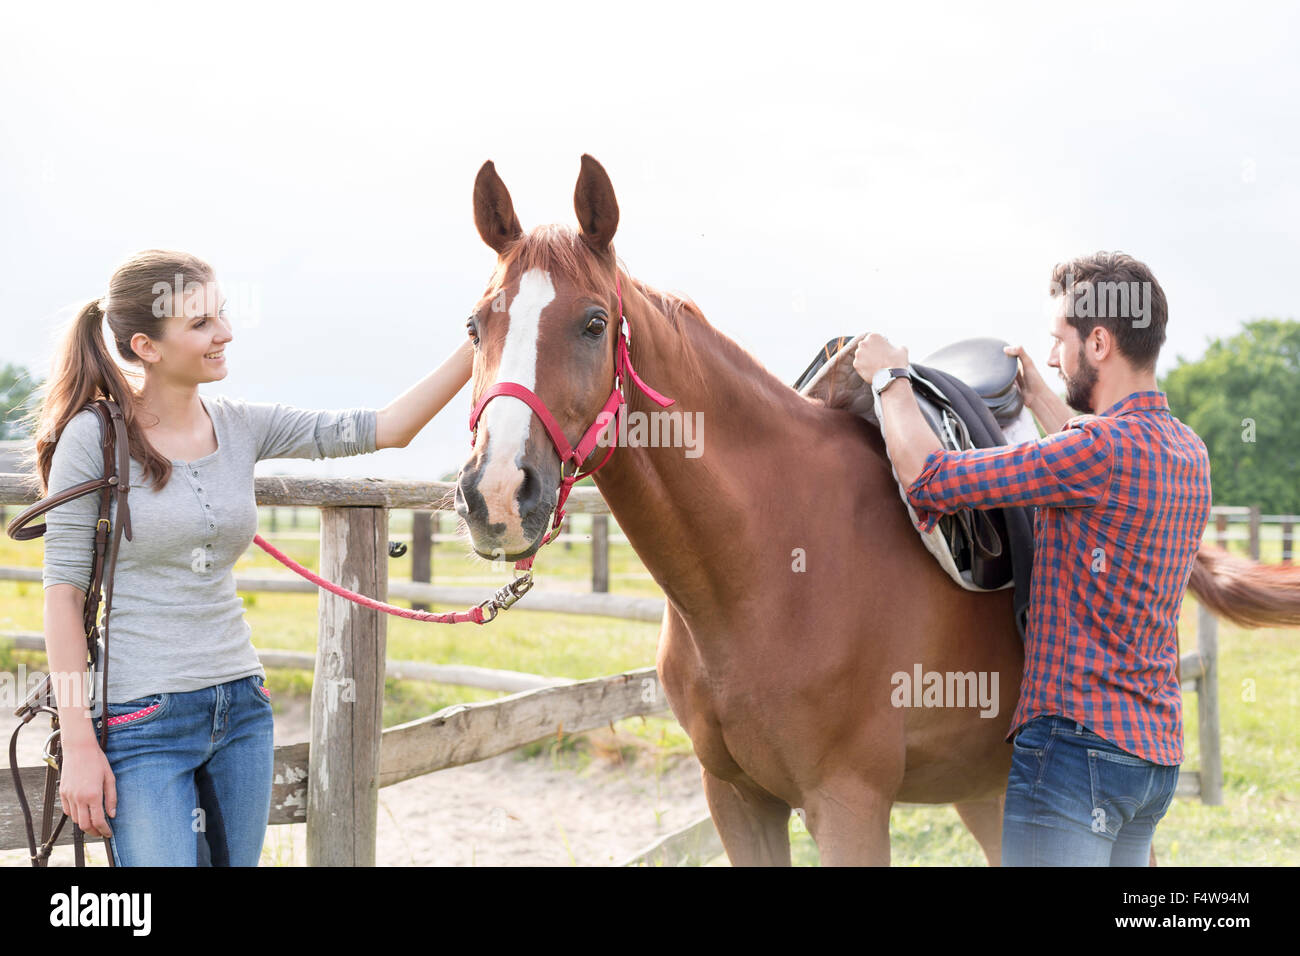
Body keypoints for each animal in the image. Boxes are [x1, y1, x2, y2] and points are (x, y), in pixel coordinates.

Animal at [454, 154, 1300, 865]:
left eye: (594, 323)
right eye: (475, 326)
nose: (495, 492)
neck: (763, 565)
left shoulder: (848, 804)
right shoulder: (736, 799)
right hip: (988, 789)